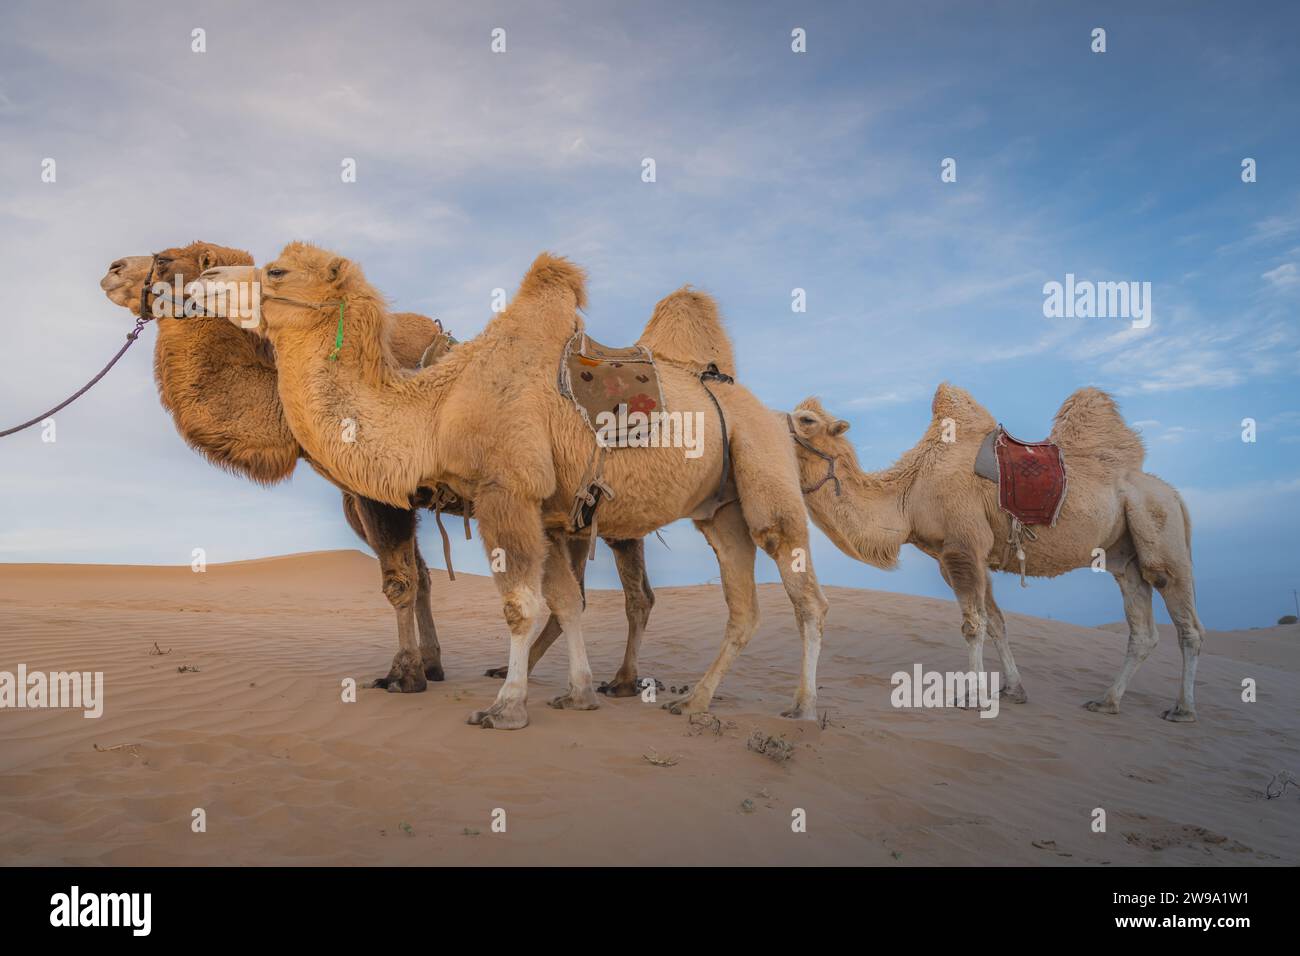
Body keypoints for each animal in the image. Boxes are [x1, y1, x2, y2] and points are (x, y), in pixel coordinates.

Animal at [197, 242, 827, 730]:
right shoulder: (546, 511)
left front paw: (506, 707)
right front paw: (578, 694)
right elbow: (566, 602)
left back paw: (803, 708)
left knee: (804, 592)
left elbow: (520, 606)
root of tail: (776, 417)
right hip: (721, 510)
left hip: (764, 470)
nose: (202, 280)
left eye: (276, 271)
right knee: (742, 607)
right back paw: (695, 703)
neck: (436, 411)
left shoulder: (507, 493)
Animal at [788, 385, 1204, 721]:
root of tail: (1176, 495)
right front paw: (1013, 690)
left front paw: (971, 697)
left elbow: (974, 626)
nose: (776, 423)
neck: (910, 494)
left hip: (1160, 529)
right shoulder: (961, 558)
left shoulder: (962, 548)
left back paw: (1183, 709)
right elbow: (998, 623)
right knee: (1143, 631)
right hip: (1124, 556)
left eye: (806, 419)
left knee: (1186, 622)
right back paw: (1107, 701)